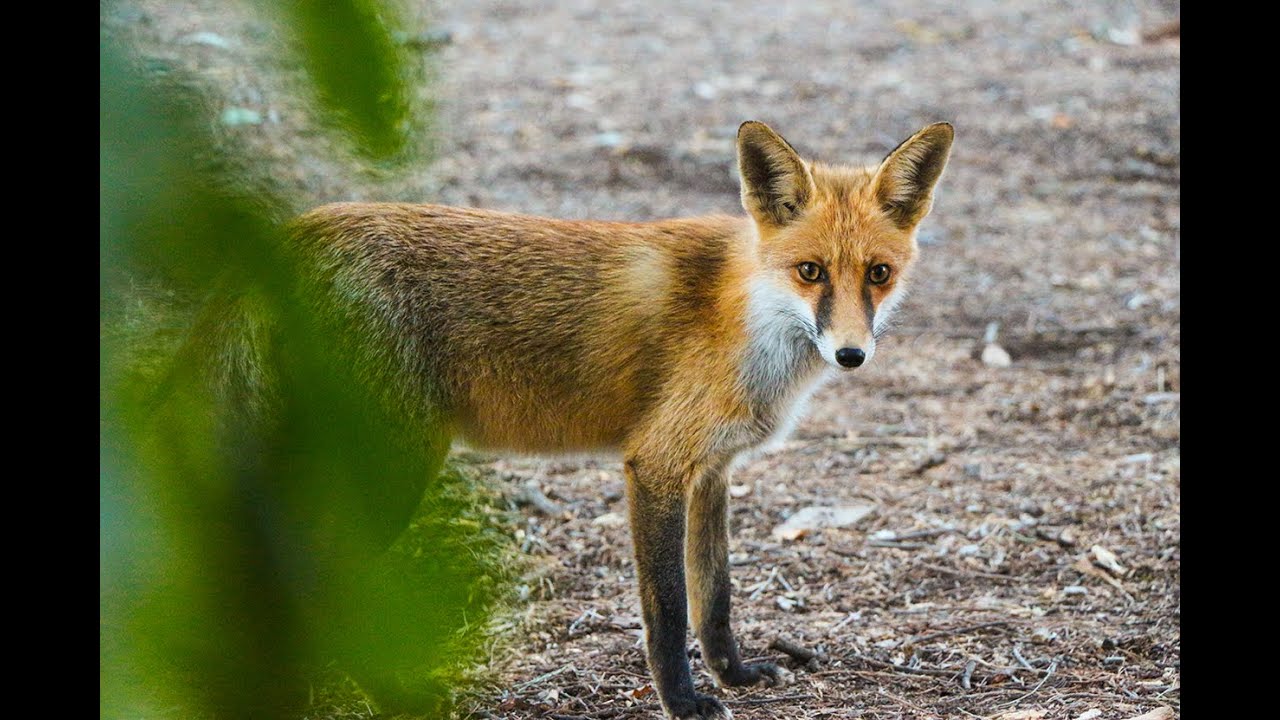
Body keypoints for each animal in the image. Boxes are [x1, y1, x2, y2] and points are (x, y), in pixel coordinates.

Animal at [212, 120, 952, 718]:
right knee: (317, 584)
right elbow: (669, 608)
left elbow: (715, 597)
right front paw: (681, 702)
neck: (745, 314)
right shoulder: (655, 463)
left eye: (878, 274)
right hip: (389, 464)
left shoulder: (711, 470)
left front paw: (735, 674)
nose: (851, 354)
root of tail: (284, 239)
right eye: (810, 271)